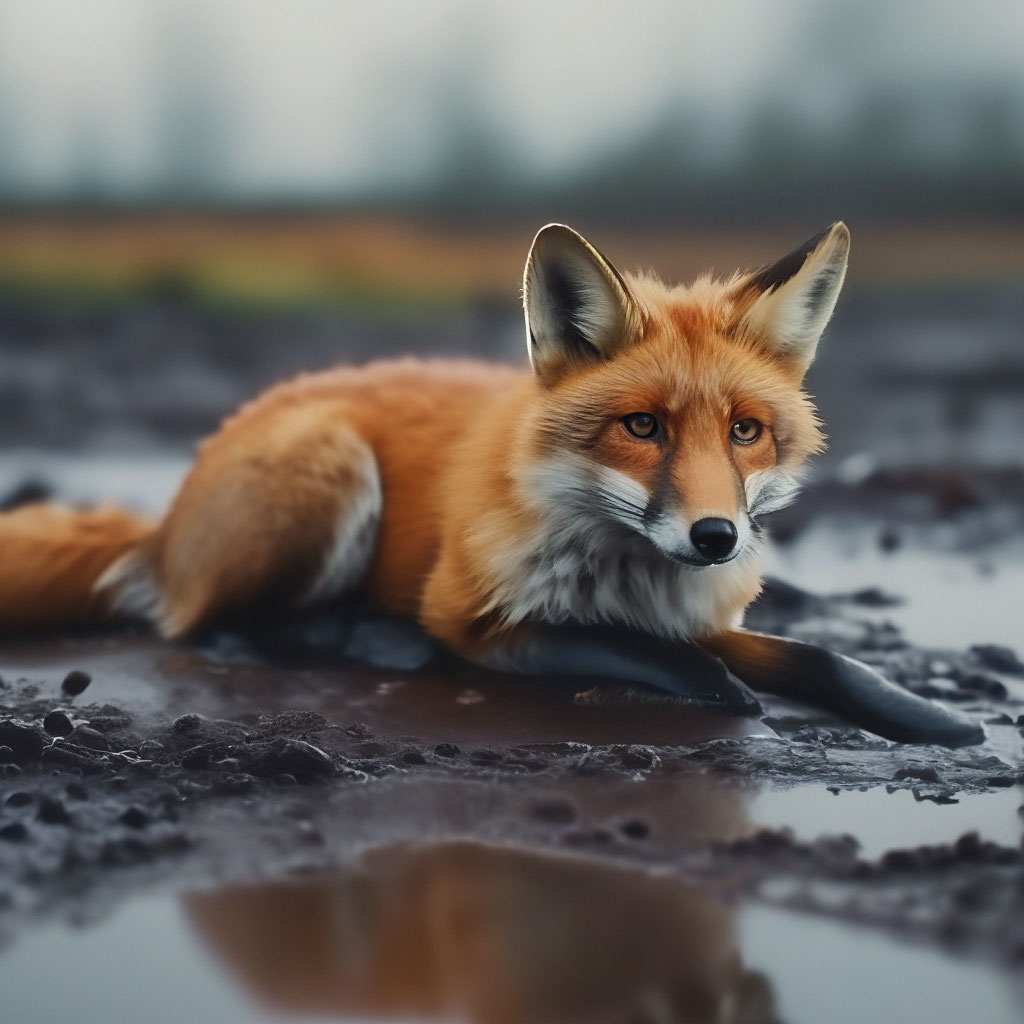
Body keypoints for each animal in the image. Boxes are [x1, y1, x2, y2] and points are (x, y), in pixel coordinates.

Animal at [0, 223, 980, 746]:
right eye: (643, 427)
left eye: (746, 431)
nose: (716, 538)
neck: (622, 567)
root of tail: (167, 517)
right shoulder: (483, 624)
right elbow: (637, 649)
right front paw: (724, 692)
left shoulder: (698, 609)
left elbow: (821, 656)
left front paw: (927, 717)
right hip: (331, 467)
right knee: (211, 626)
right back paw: (360, 637)